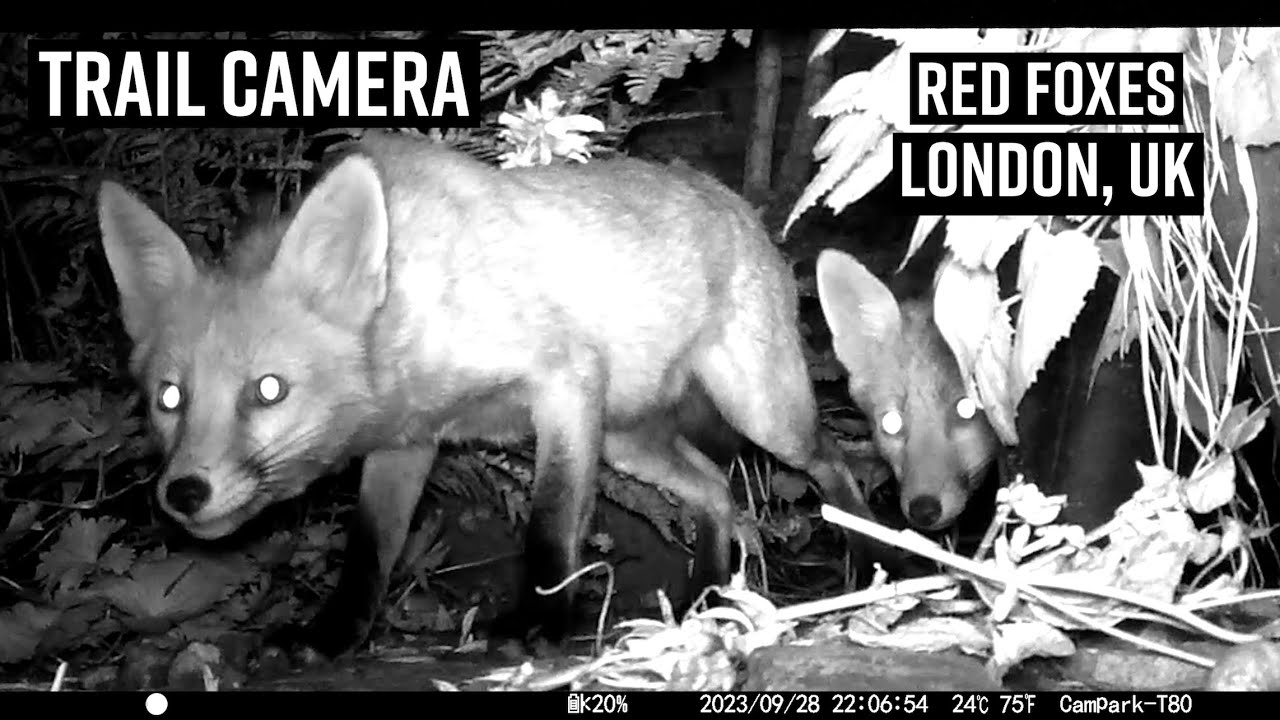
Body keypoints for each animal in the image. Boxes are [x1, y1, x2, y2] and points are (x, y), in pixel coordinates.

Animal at [95, 130, 877, 662]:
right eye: (169, 398)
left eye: (268, 389)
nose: (183, 493)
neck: (412, 299)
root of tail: (734, 199)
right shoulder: (404, 445)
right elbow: (369, 552)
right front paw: (333, 635)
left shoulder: (564, 378)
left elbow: (551, 519)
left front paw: (538, 622)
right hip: (629, 442)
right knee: (717, 486)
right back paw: (704, 599)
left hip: (762, 412)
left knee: (831, 458)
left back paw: (881, 557)